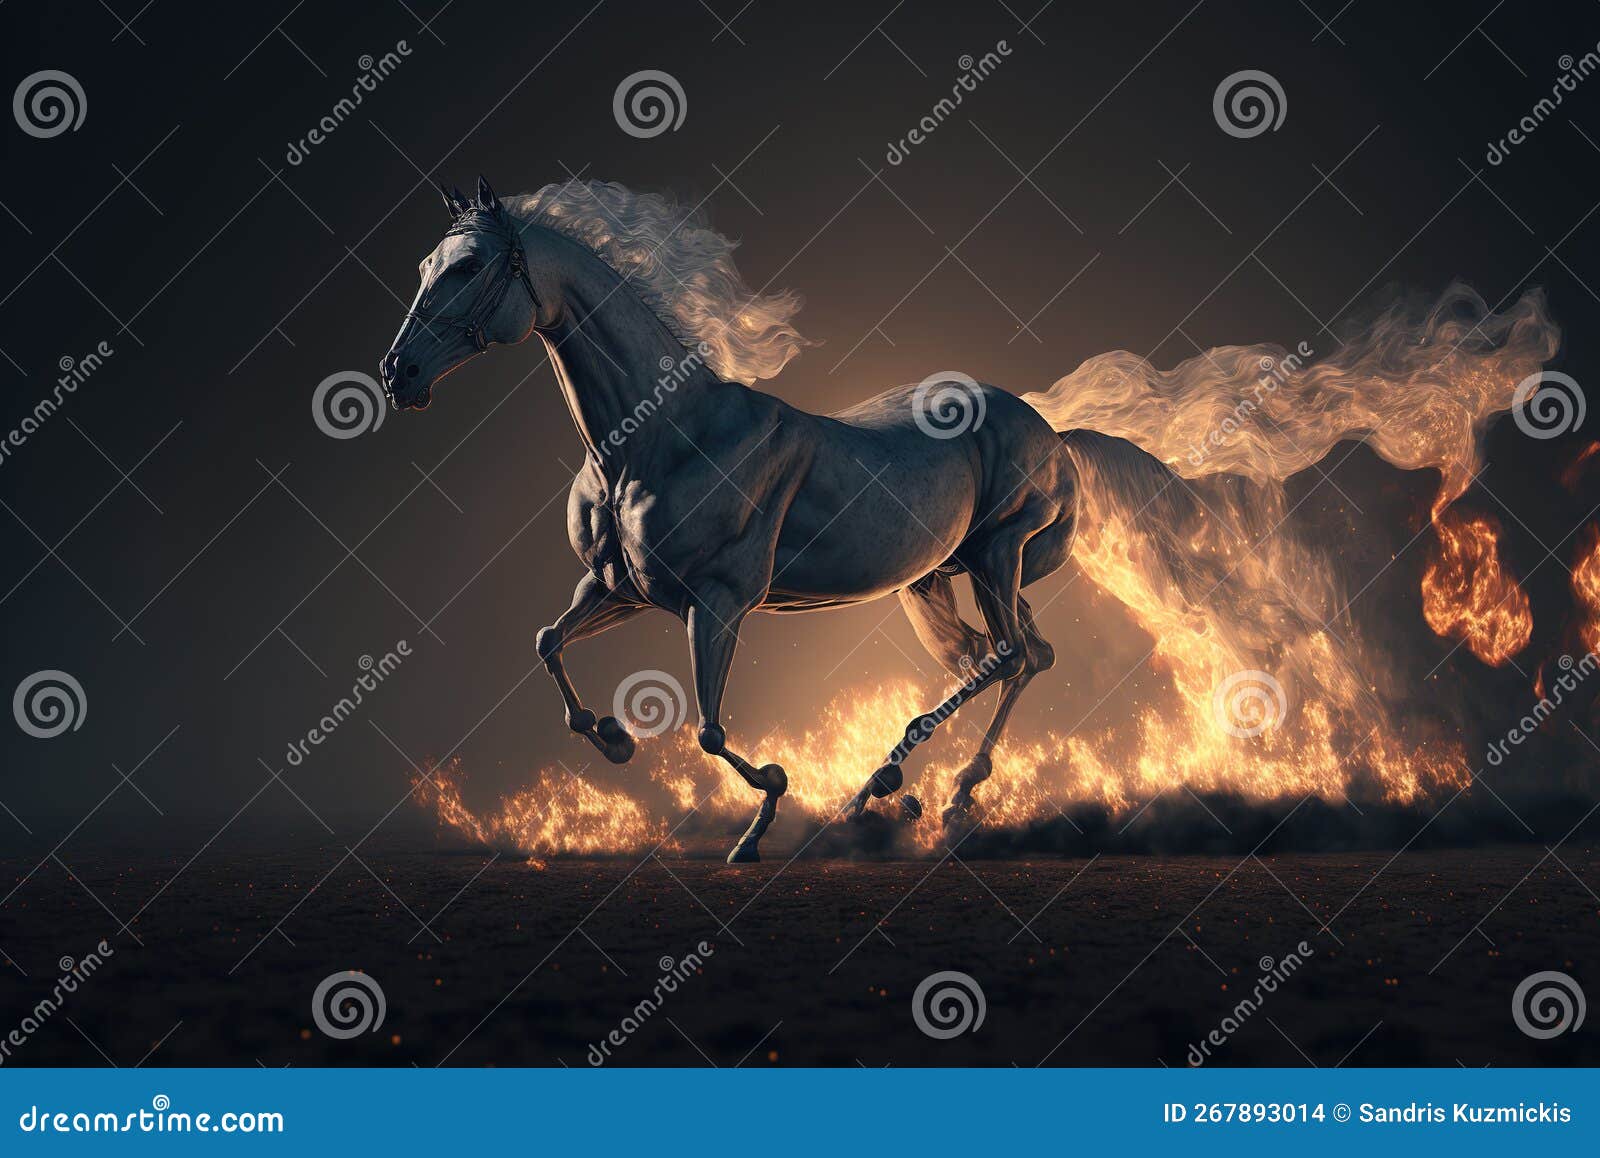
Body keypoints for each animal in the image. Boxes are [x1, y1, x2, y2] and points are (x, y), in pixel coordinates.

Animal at [380, 177, 1088, 863]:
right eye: (424, 264)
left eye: (469, 265)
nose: (397, 374)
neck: (660, 439)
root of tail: (1053, 434)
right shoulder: (619, 589)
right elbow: (547, 642)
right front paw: (613, 737)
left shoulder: (718, 600)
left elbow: (709, 730)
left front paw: (759, 818)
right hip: (942, 576)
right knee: (1018, 655)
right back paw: (912, 797)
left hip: (999, 552)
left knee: (1006, 655)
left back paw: (908, 791)